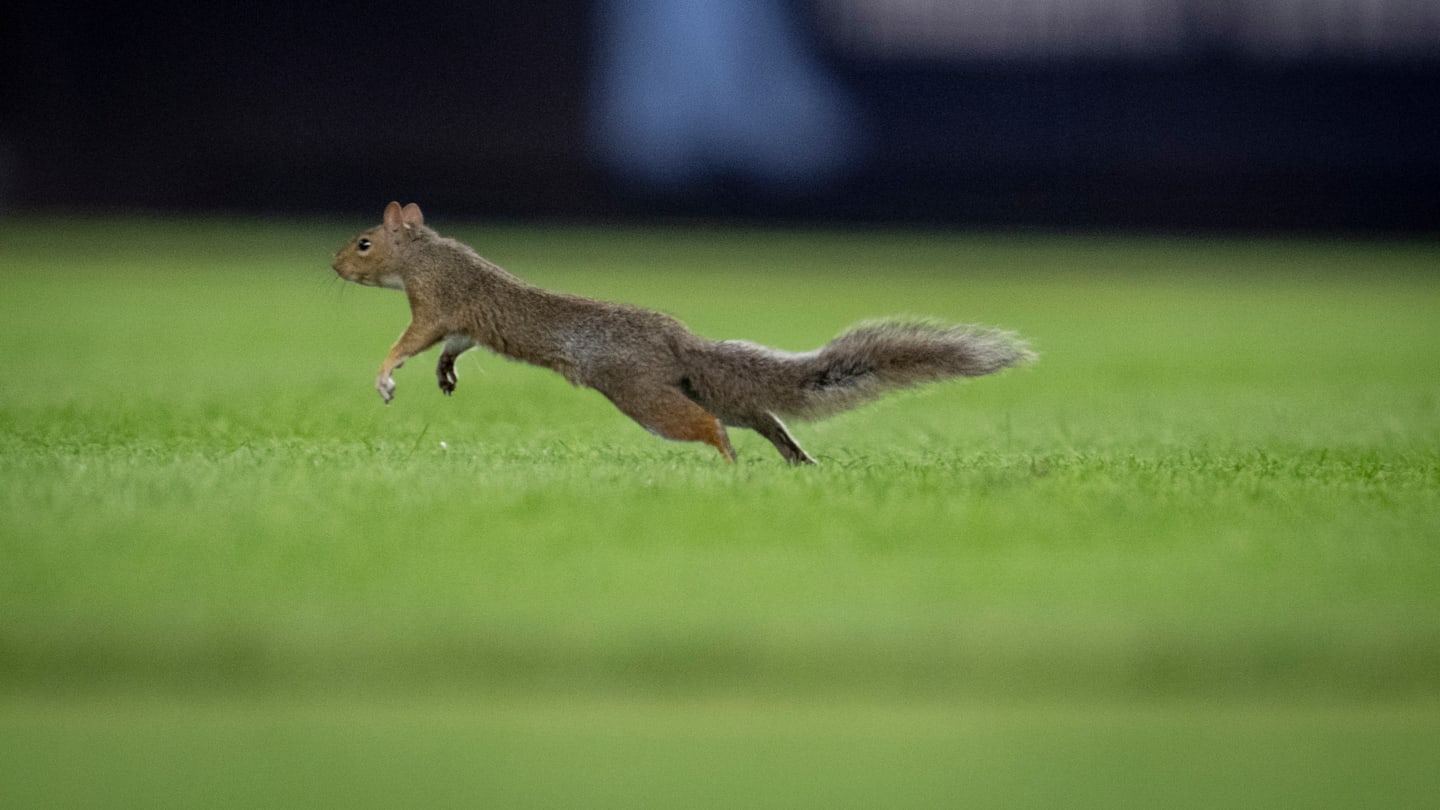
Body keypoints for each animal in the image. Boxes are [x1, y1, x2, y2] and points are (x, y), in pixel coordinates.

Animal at [332, 202, 1034, 464]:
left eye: (364, 243)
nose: (333, 266)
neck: (425, 251)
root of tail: (677, 341)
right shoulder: (459, 320)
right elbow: (455, 345)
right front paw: (445, 375)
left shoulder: (434, 304)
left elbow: (410, 340)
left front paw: (386, 377)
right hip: (700, 385)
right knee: (759, 413)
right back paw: (797, 461)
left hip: (641, 393)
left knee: (712, 426)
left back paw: (729, 463)